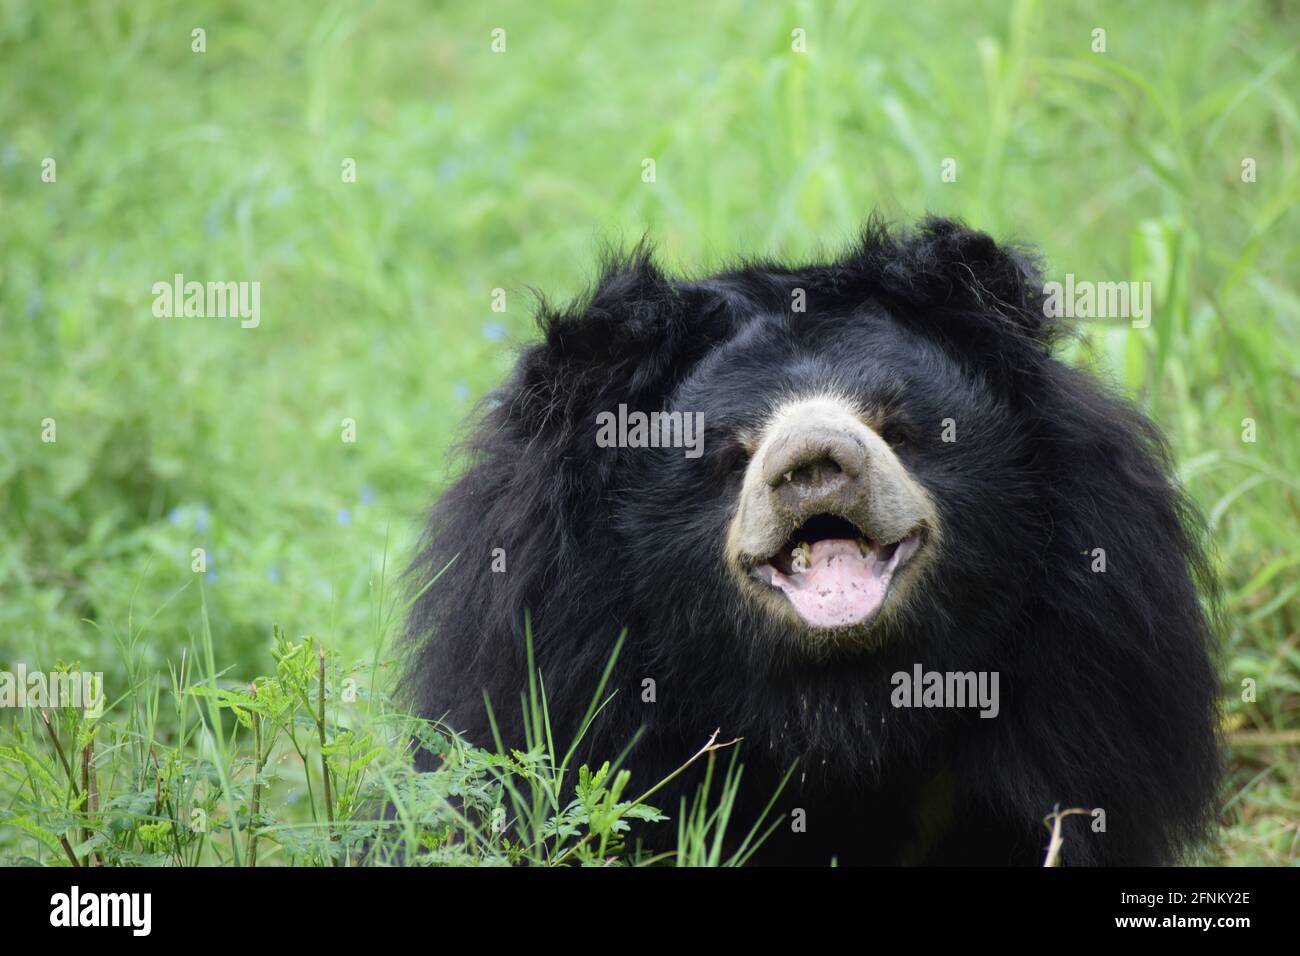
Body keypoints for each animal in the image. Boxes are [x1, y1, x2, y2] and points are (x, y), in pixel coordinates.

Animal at [401, 217, 1221, 866]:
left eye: (897, 425)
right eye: (730, 454)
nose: (814, 463)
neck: (837, 705)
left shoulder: (1078, 679)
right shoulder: (558, 673)